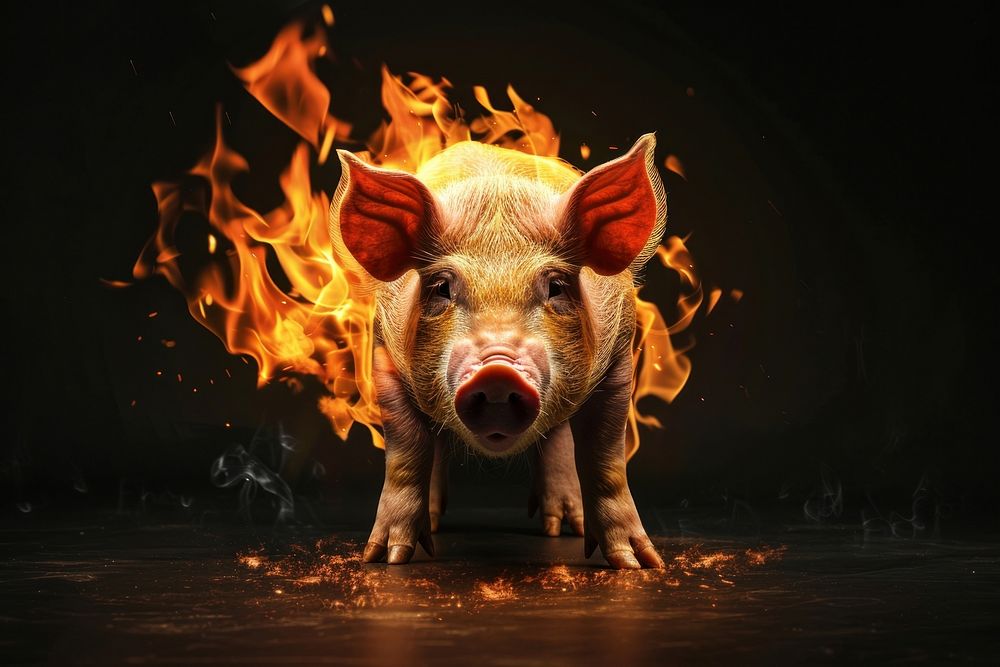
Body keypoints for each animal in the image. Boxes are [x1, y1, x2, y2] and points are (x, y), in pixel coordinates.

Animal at [328, 134, 667, 569]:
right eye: (442, 287)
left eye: (556, 286)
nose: (497, 371)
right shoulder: (386, 353)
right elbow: (406, 452)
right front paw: (386, 558)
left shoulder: (619, 355)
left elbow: (605, 456)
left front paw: (638, 564)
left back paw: (563, 529)